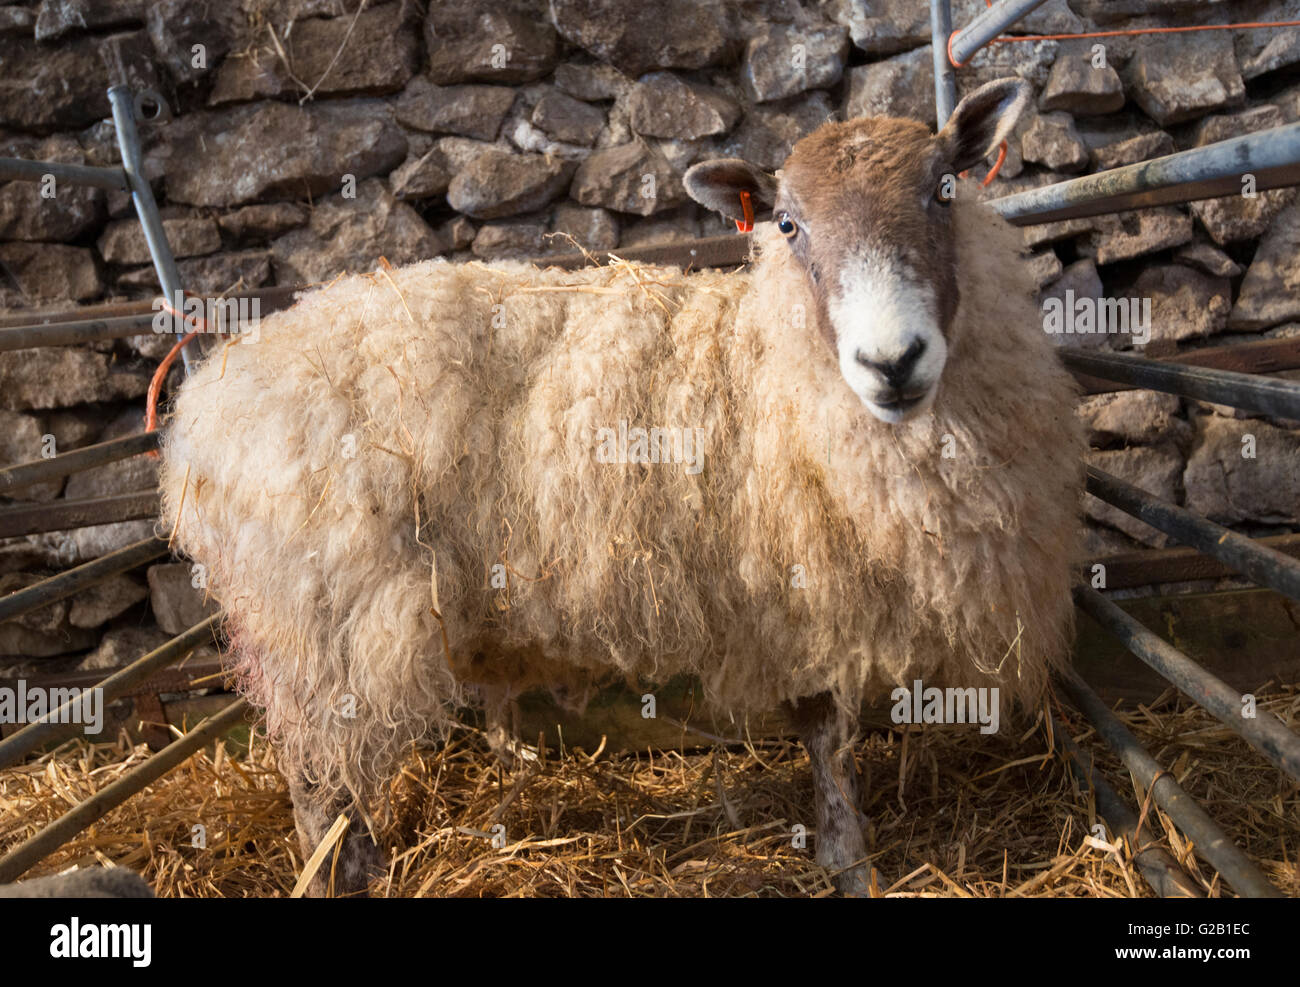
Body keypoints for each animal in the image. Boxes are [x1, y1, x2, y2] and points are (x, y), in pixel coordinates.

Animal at [159, 79, 1084, 897]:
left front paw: (841, 851)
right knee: (319, 778)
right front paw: (851, 859)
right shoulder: (801, 586)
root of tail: (208, 402)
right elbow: (827, 733)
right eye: (788, 223)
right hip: (324, 618)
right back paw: (340, 876)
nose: (892, 361)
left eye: (943, 190)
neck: (767, 361)